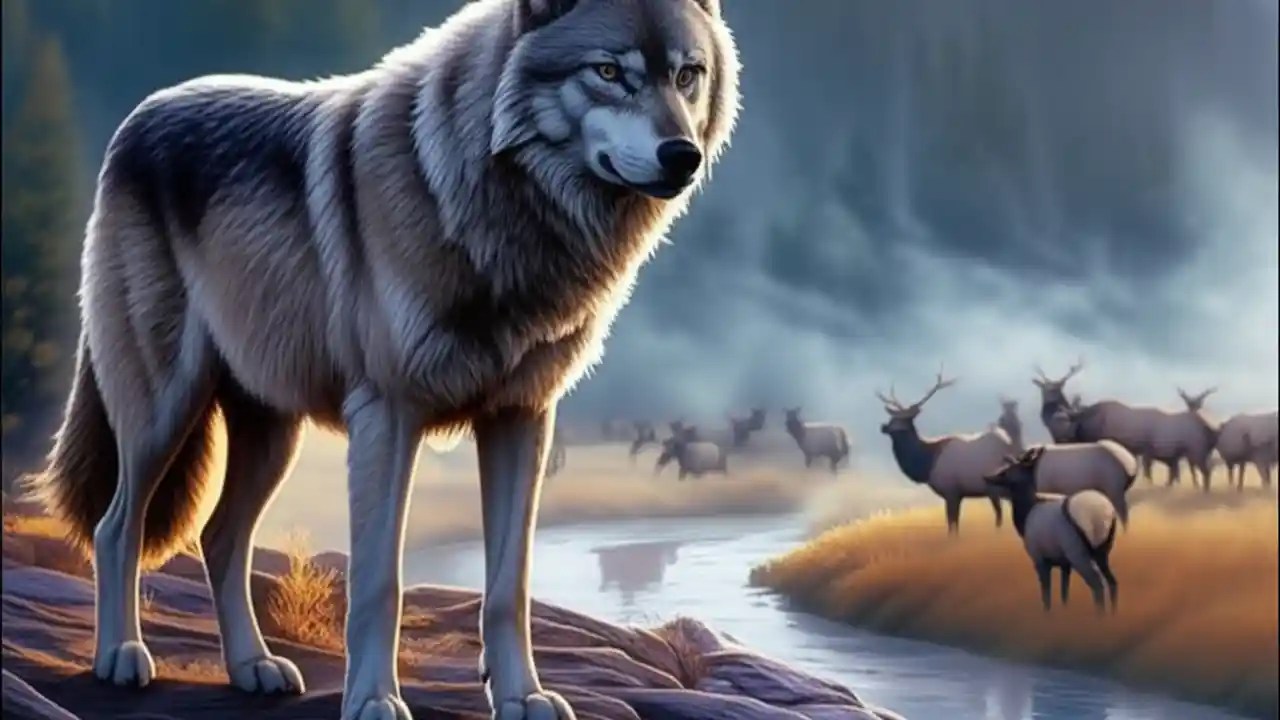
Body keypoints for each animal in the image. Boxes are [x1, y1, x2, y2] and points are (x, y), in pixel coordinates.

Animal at [26, 1, 740, 718]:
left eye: (687, 75)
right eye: (608, 72)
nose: (682, 155)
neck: (493, 205)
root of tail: (141, 115)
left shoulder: (522, 417)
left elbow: (508, 587)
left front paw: (522, 697)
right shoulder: (387, 415)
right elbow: (379, 584)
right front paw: (373, 699)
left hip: (272, 434)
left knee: (221, 536)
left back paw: (253, 666)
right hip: (162, 411)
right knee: (118, 526)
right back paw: (120, 656)